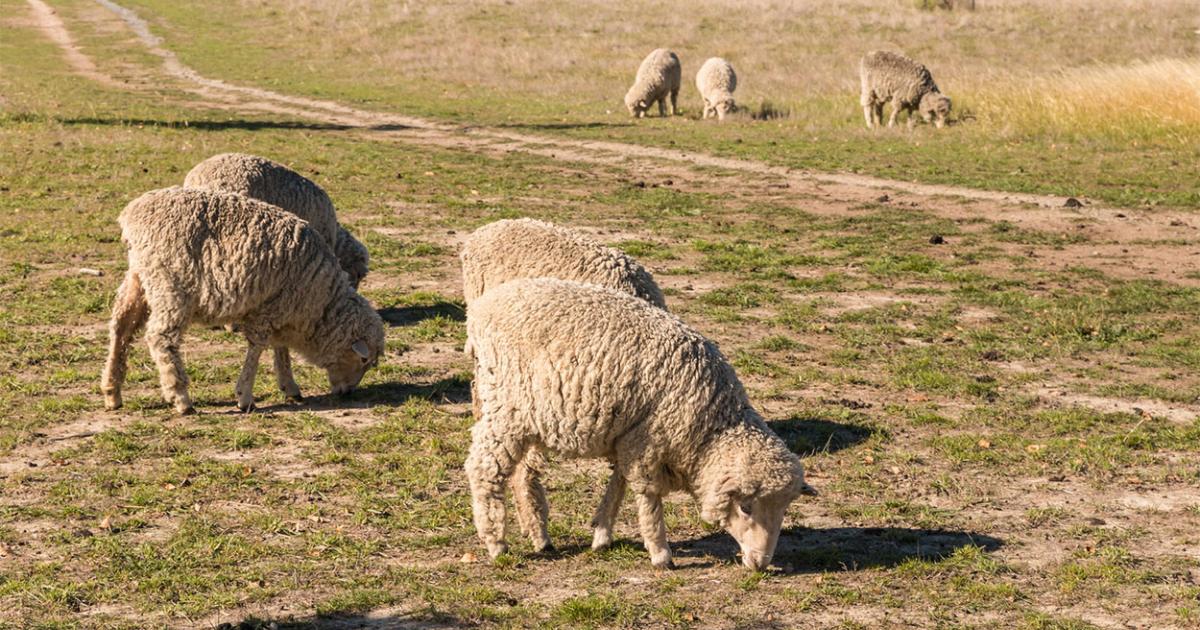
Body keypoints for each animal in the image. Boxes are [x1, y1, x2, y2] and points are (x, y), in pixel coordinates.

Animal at [101, 187, 384, 415]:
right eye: (363, 361)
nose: (347, 393)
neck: (321, 305)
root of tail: (131, 215)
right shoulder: (271, 308)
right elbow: (258, 348)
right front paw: (245, 396)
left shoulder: (282, 307)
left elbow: (280, 347)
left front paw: (289, 385)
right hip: (170, 283)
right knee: (160, 338)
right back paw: (181, 398)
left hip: (140, 275)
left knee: (121, 326)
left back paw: (112, 391)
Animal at [465, 277, 815, 570]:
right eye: (745, 508)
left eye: (784, 510)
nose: (760, 564)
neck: (711, 428)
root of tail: (483, 306)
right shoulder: (647, 441)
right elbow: (648, 497)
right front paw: (660, 553)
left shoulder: (629, 437)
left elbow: (617, 485)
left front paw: (601, 534)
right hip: (506, 408)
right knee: (484, 469)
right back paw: (496, 543)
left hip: (530, 419)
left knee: (522, 475)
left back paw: (540, 537)